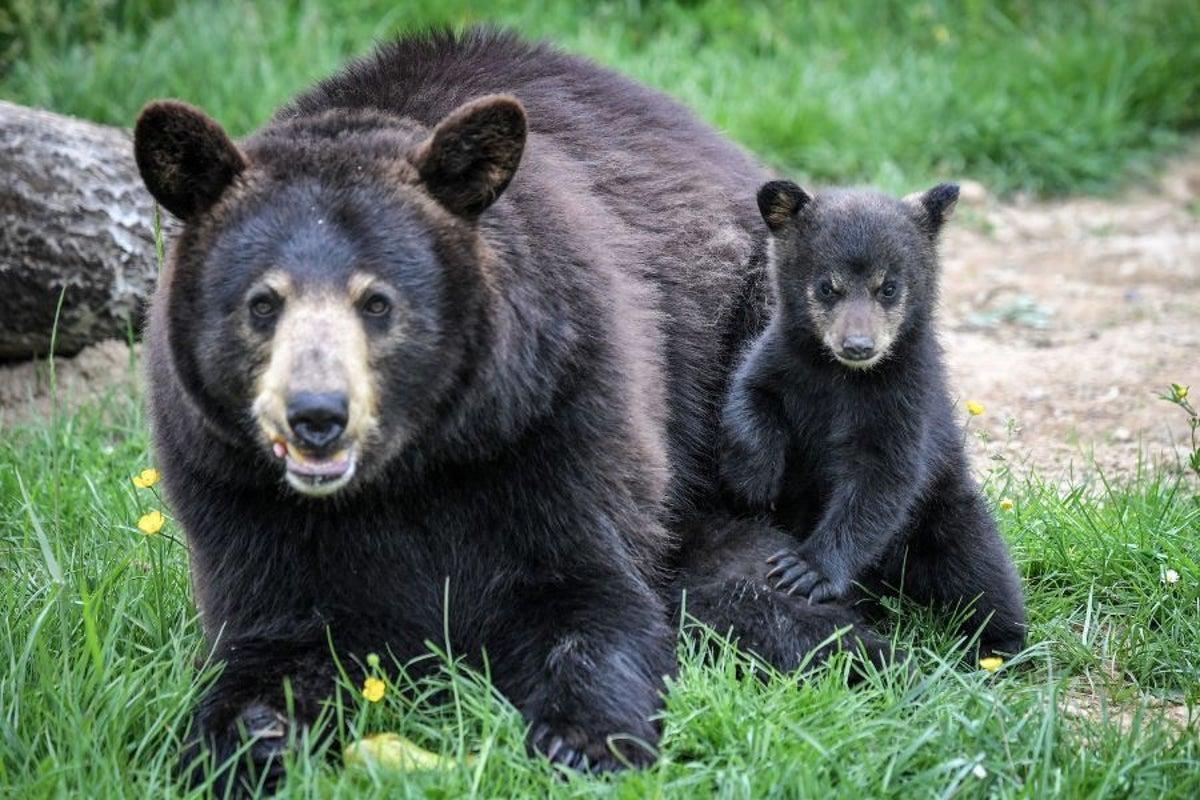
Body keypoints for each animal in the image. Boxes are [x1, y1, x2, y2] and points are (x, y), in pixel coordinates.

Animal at [132, 28, 881, 792]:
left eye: (378, 301)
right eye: (263, 302)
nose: (315, 416)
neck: (411, 467)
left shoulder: (552, 405)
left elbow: (588, 588)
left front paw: (582, 738)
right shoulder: (233, 481)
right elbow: (276, 633)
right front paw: (241, 743)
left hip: (760, 337)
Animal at [718, 180, 1027, 659]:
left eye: (889, 287)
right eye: (827, 287)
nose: (858, 345)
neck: (842, 376)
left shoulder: (905, 398)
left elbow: (881, 481)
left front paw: (805, 569)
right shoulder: (782, 358)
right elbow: (750, 395)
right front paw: (754, 482)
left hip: (948, 512)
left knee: (980, 571)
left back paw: (998, 646)